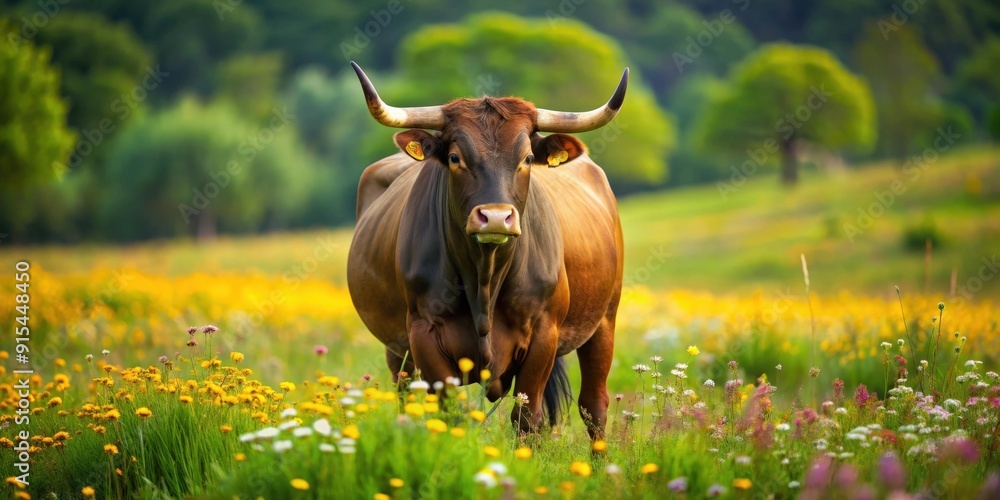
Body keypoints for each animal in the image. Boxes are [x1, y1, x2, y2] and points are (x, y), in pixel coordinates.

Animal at [346, 61, 625, 439]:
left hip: (604, 319)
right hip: (396, 349)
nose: (495, 217)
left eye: (527, 158)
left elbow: (527, 419)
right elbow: (446, 414)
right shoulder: (422, 334)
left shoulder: (544, 335)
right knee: (404, 394)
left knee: (593, 405)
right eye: (454, 157)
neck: (485, 279)